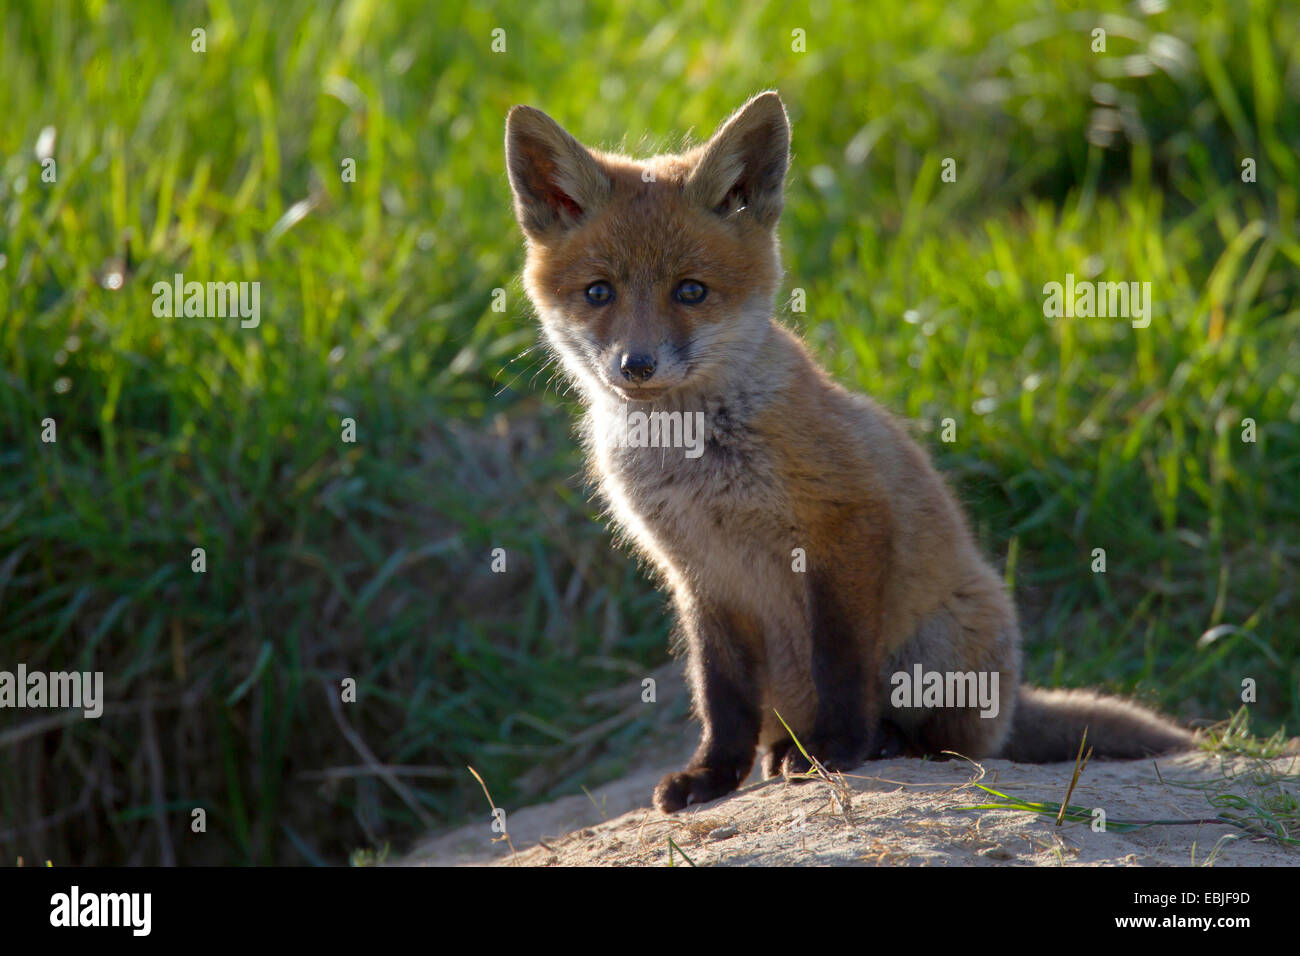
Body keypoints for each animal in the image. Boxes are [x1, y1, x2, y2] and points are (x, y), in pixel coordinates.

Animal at [504, 91, 1196, 813]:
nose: (635, 366)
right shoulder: (699, 575)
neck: (694, 459)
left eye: (690, 291)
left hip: (939, 648)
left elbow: (839, 662)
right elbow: (722, 697)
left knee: (954, 744)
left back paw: (882, 741)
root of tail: (1011, 699)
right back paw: (787, 751)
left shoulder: (846, 525)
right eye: (599, 292)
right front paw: (713, 775)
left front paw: (837, 751)